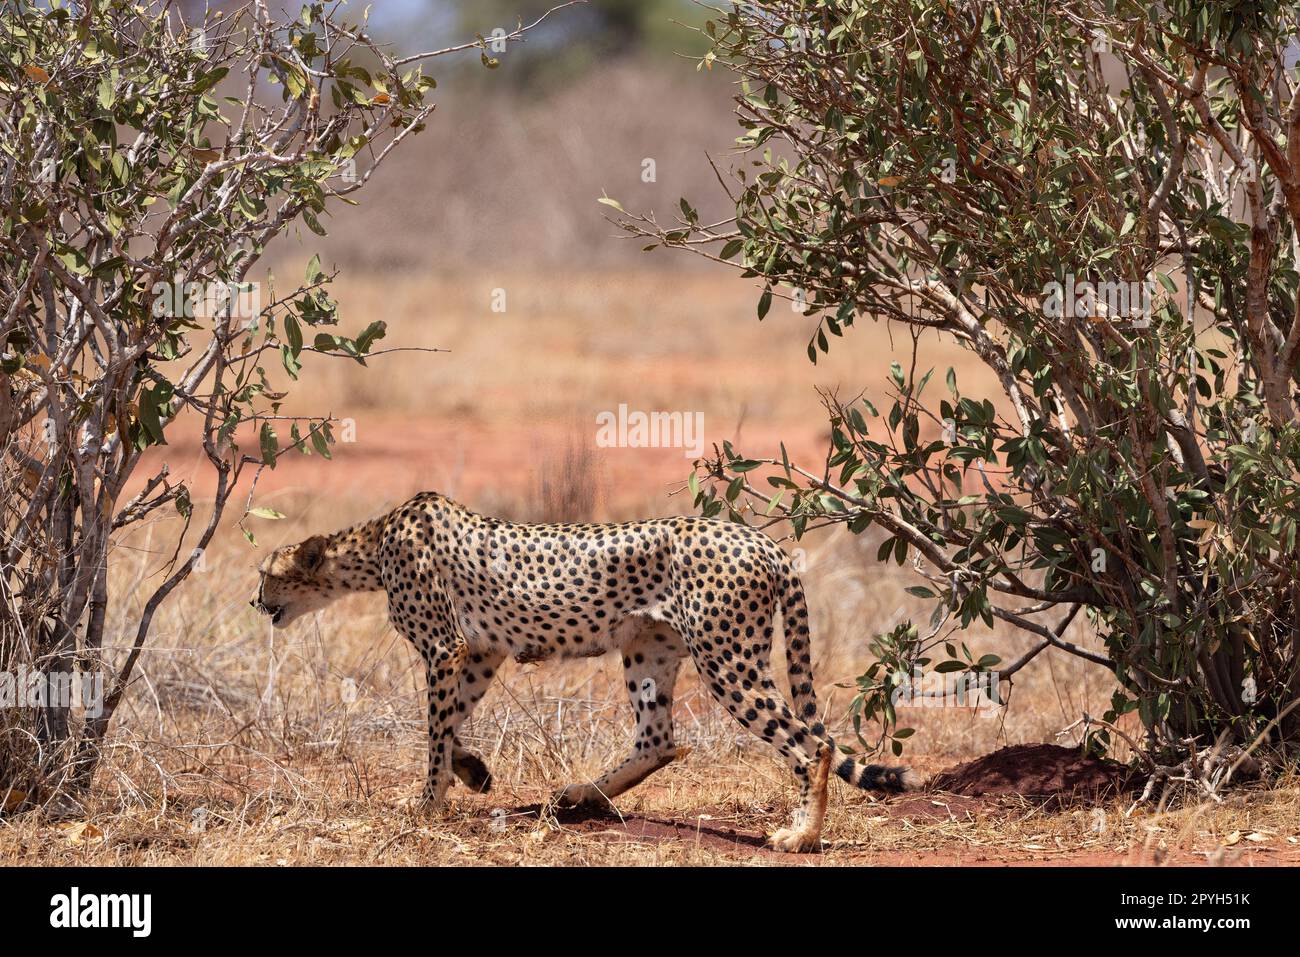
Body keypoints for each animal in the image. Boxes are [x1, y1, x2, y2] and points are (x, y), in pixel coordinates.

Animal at [251, 491, 922, 852]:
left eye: (265, 574)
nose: (256, 602)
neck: (374, 544)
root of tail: (765, 543)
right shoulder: (480, 653)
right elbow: (452, 723)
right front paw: (472, 772)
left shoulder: (444, 648)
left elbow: (435, 731)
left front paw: (428, 805)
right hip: (650, 649)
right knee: (659, 740)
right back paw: (580, 795)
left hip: (727, 657)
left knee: (810, 746)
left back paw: (800, 836)